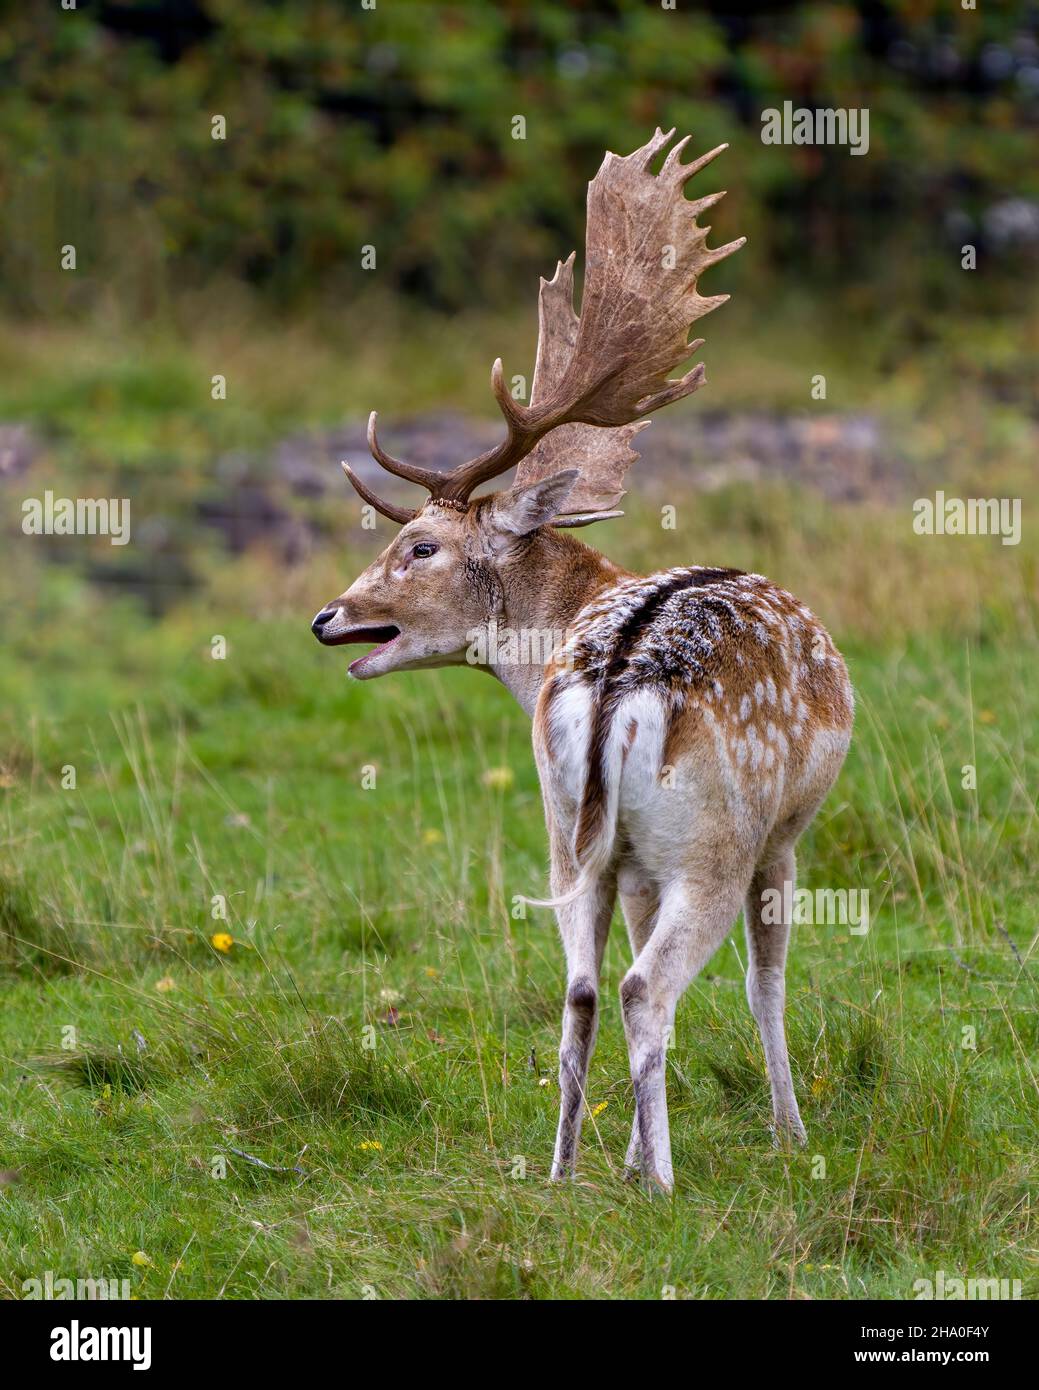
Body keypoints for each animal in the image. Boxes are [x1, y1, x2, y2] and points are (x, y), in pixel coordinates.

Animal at [312, 129, 854, 1193]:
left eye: (418, 547)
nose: (328, 617)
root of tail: (610, 690)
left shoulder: (626, 855)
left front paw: (634, 1151)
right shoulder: (785, 830)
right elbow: (767, 982)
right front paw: (789, 1133)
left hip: (569, 831)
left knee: (579, 990)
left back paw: (565, 1172)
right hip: (715, 843)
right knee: (647, 988)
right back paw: (665, 1182)